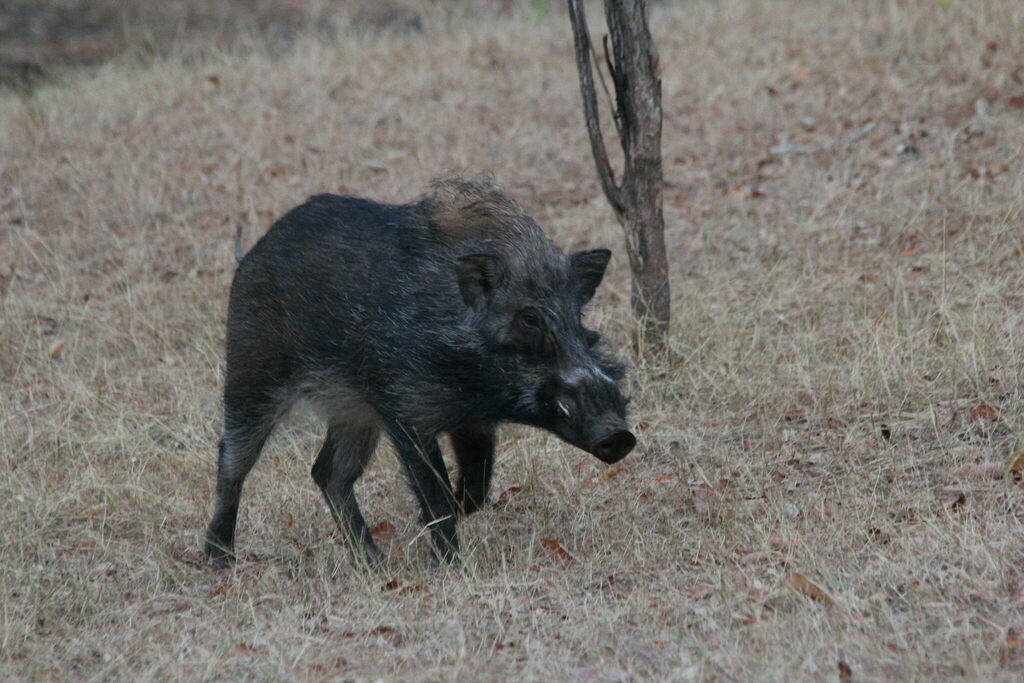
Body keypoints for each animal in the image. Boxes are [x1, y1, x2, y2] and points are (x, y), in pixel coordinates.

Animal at [204, 175, 635, 568]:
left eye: (579, 318)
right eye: (529, 319)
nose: (619, 434)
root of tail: (253, 253)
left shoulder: (472, 424)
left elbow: (476, 486)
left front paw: (451, 523)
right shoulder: (408, 414)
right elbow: (434, 490)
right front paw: (448, 565)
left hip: (354, 413)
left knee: (329, 473)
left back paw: (374, 562)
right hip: (252, 374)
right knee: (233, 459)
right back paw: (218, 557)